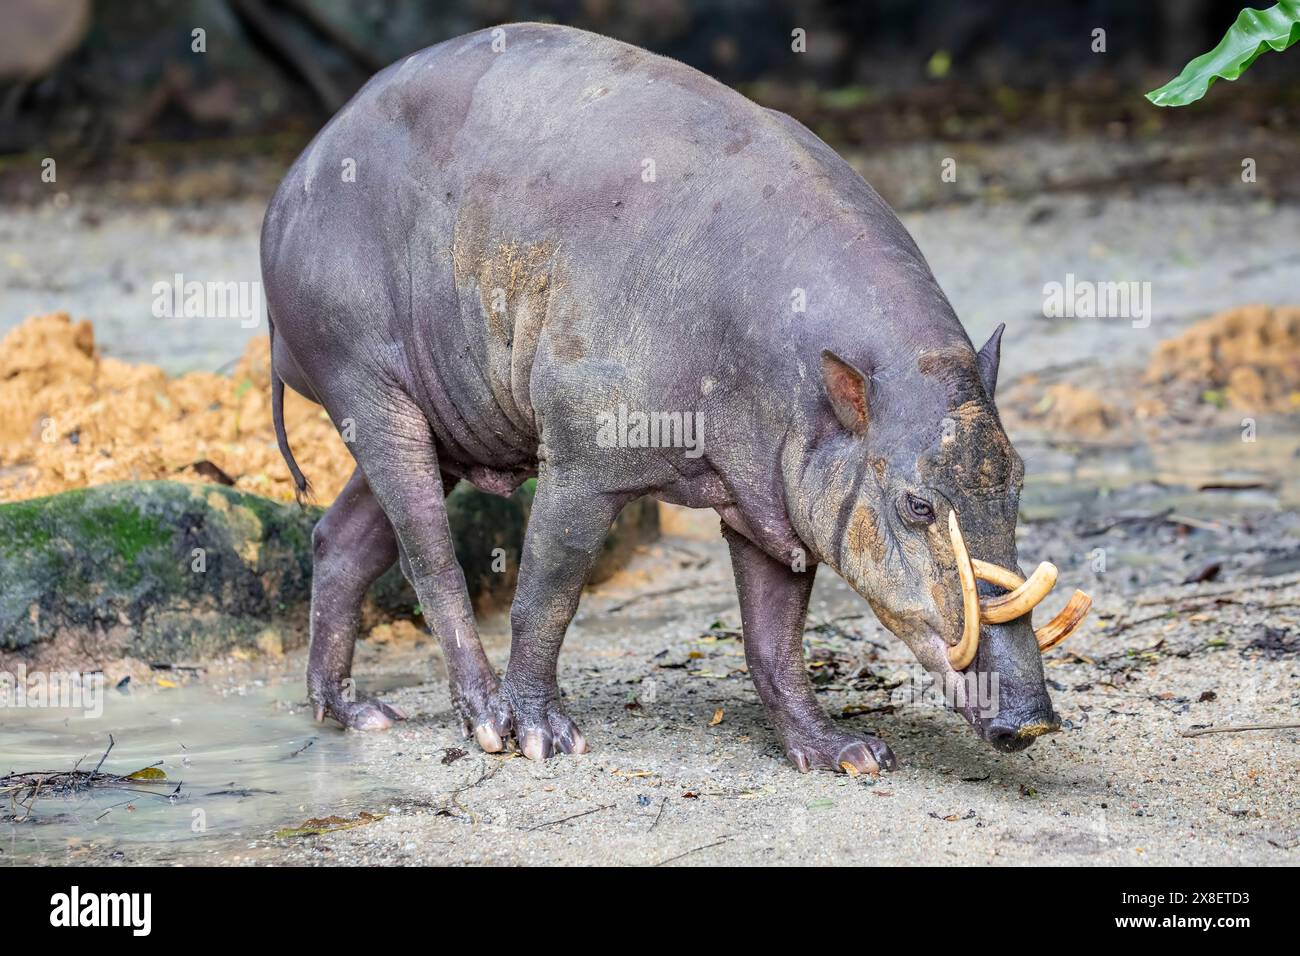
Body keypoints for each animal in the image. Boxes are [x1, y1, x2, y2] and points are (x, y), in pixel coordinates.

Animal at [261, 22, 1067, 774]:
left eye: (1020, 481)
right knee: (428, 553)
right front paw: (543, 737)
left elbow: (775, 636)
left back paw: (351, 712)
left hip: (446, 424)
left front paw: (843, 751)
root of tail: (288, 186)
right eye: (918, 506)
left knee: (339, 538)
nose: (1030, 718)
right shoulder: (584, 456)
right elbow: (546, 594)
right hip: (365, 379)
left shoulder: (770, 498)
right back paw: (487, 720)